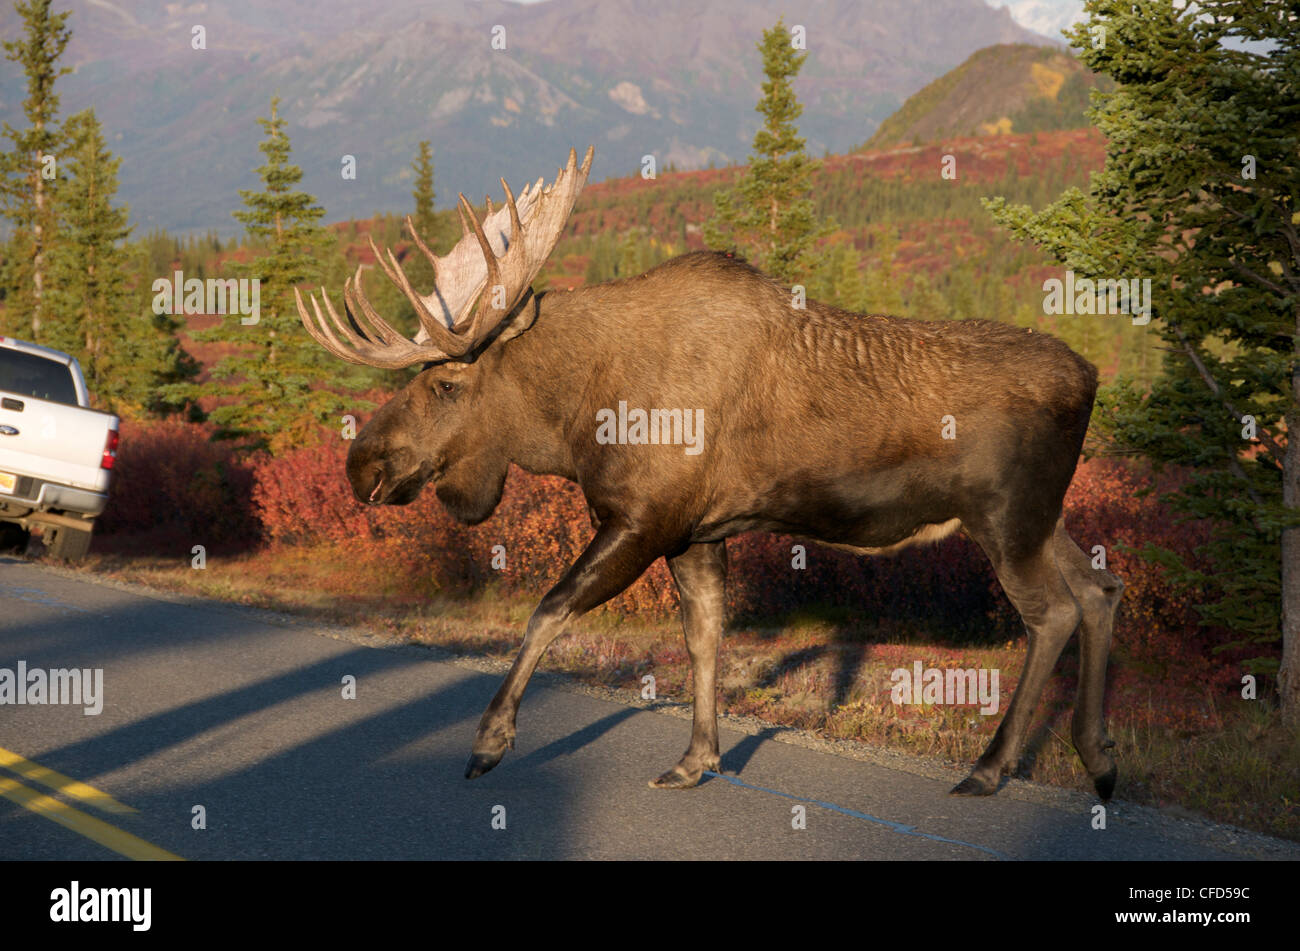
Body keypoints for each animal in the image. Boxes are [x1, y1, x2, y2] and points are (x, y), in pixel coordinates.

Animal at [297, 146, 1124, 800]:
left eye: (446, 383)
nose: (360, 465)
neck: (577, 414)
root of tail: (1091, 378)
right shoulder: (696, 533)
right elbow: (704, 638)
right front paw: (697, 758)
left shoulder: (642, 518)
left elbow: (549, 609)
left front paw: (490, 740)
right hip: (1043, 517)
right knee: (1099, 587)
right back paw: (1099, 757)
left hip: (1005, 517)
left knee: (1052, 612)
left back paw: (991, 766)